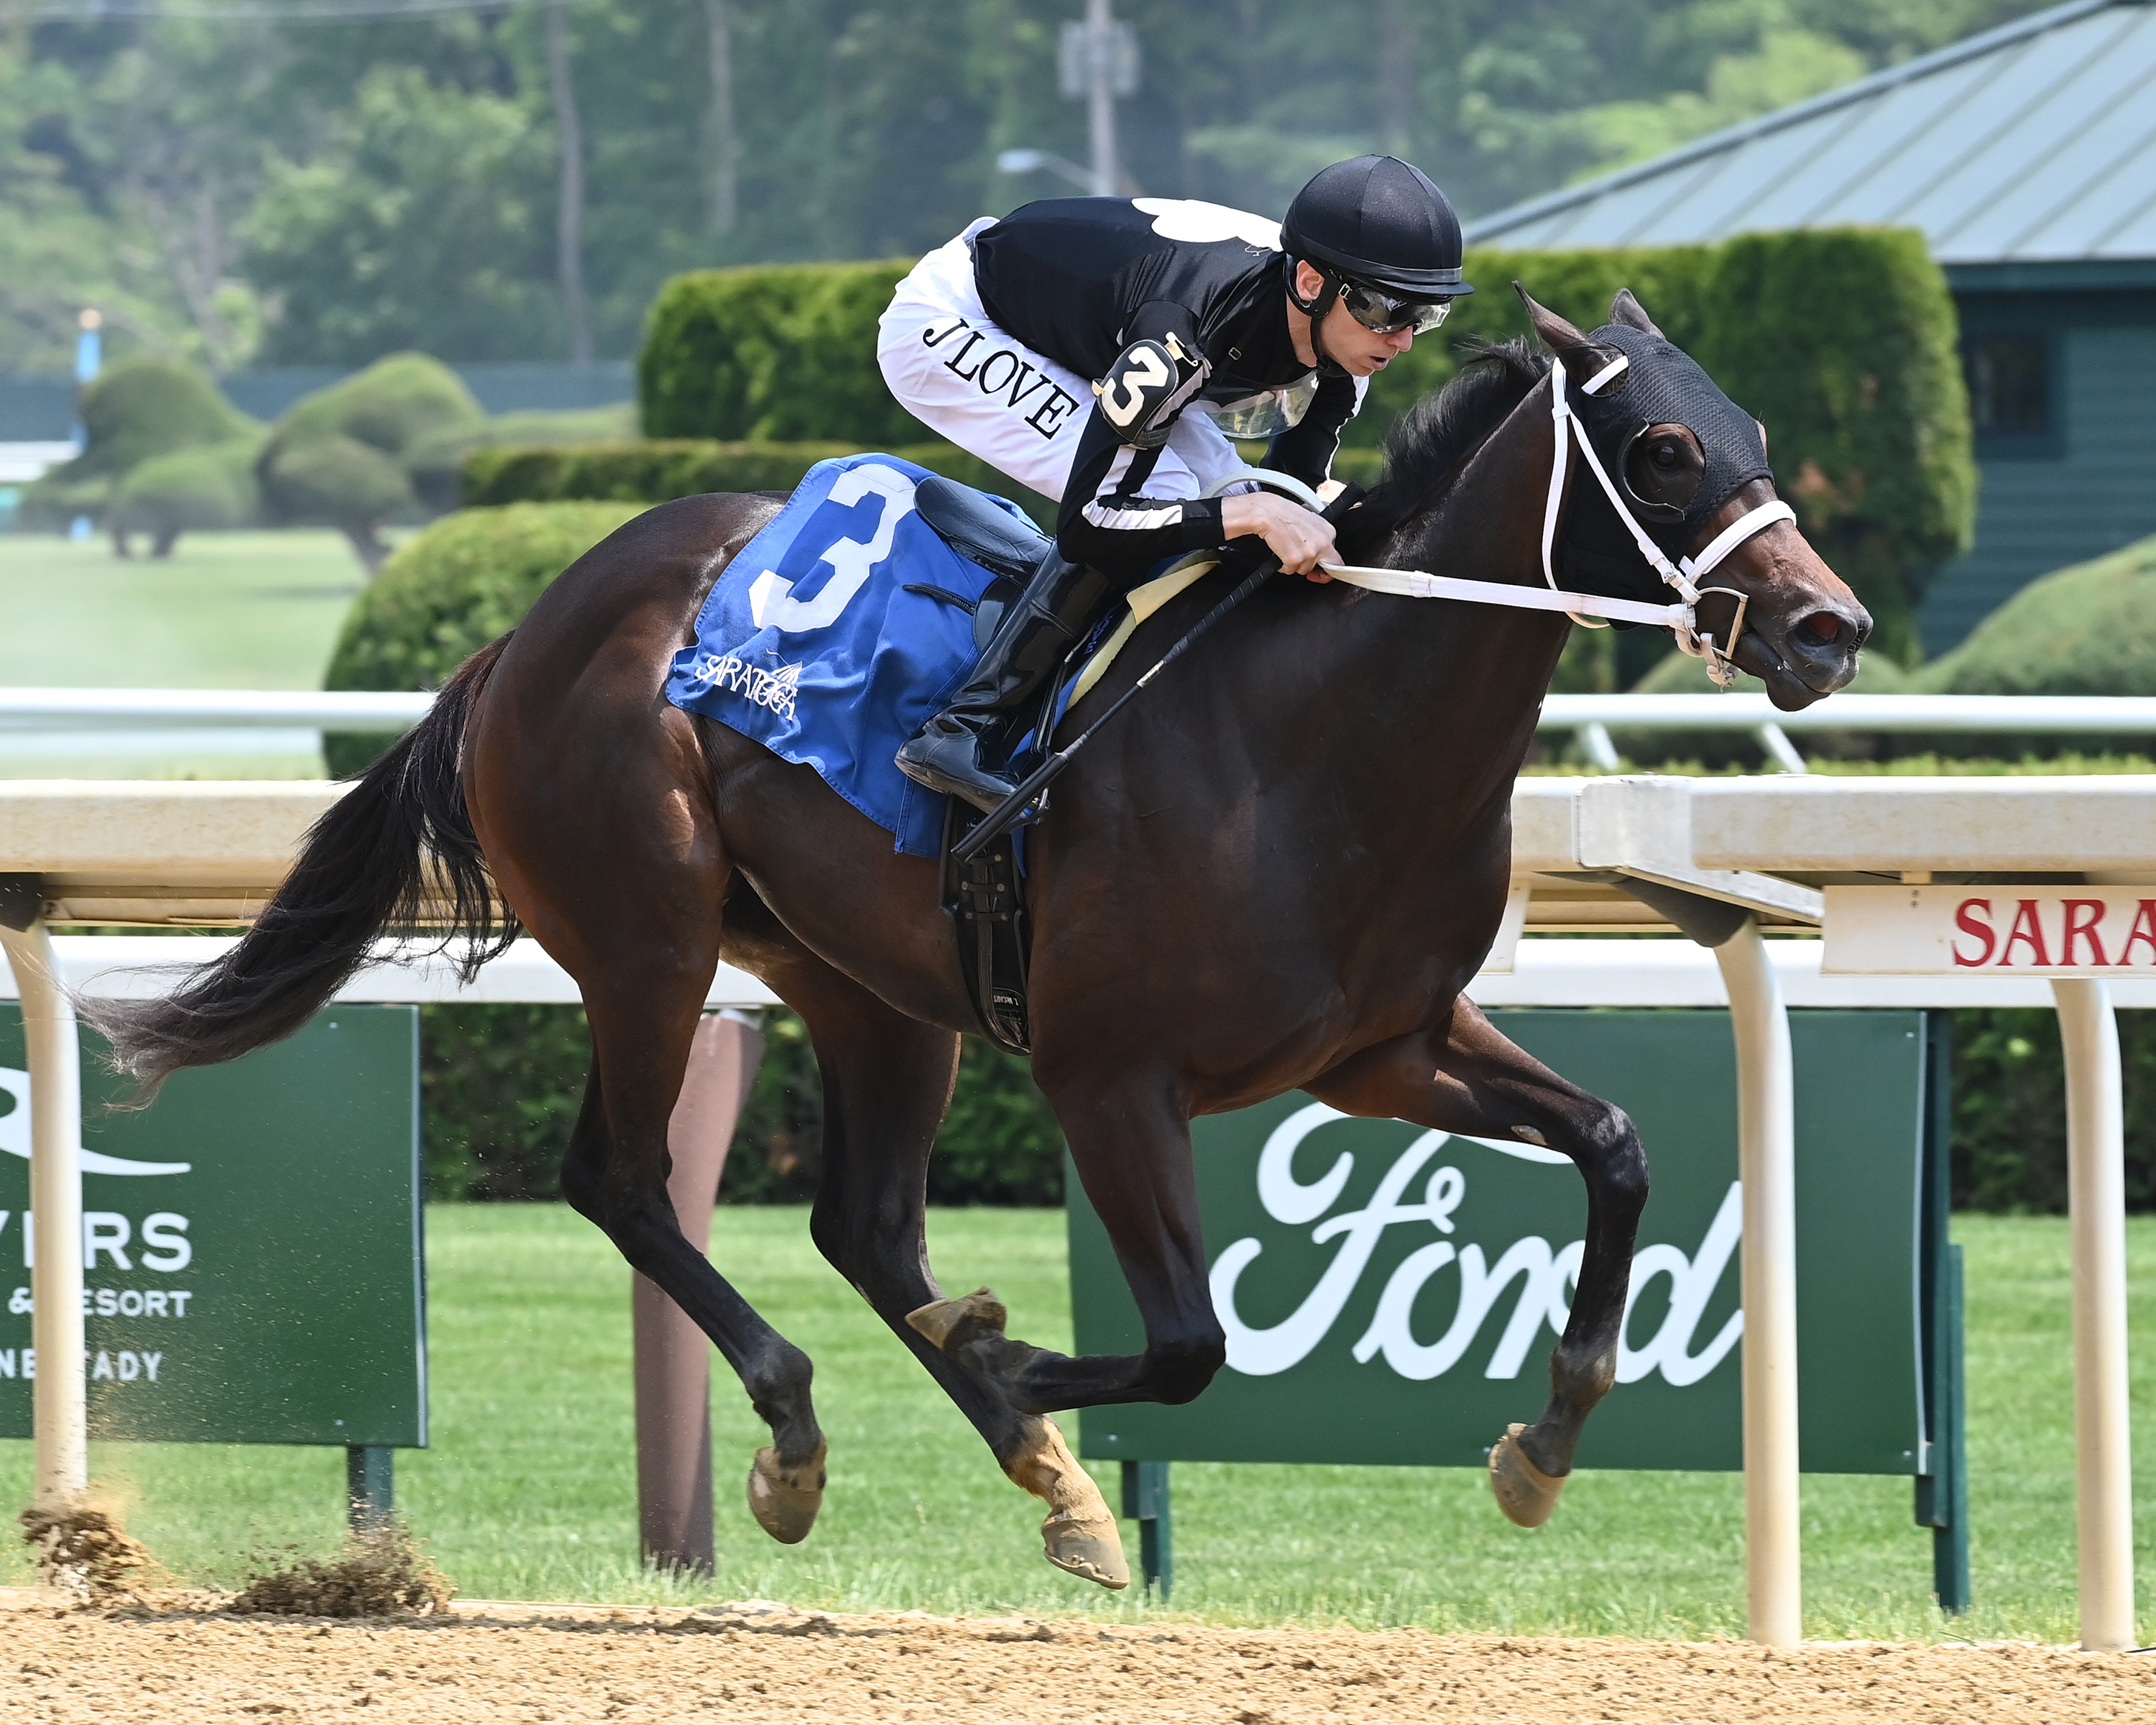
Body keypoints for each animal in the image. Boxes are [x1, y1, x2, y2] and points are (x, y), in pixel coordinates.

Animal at [90, 289, 1868, 1589]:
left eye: (1756, 433)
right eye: (1659, 446)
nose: (1827, 627)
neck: (1319, 747)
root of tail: (525, 627)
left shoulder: (1384, 1049)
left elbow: (1618, 1144)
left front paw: (1543, 1446)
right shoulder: (1111, 1077)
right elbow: (1188, 1344)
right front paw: (1011, 1368)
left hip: (874, 989)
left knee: (866, 1228)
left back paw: (1037, 1478)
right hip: (647, 940)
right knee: (624, 1178)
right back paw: (818, 1433)